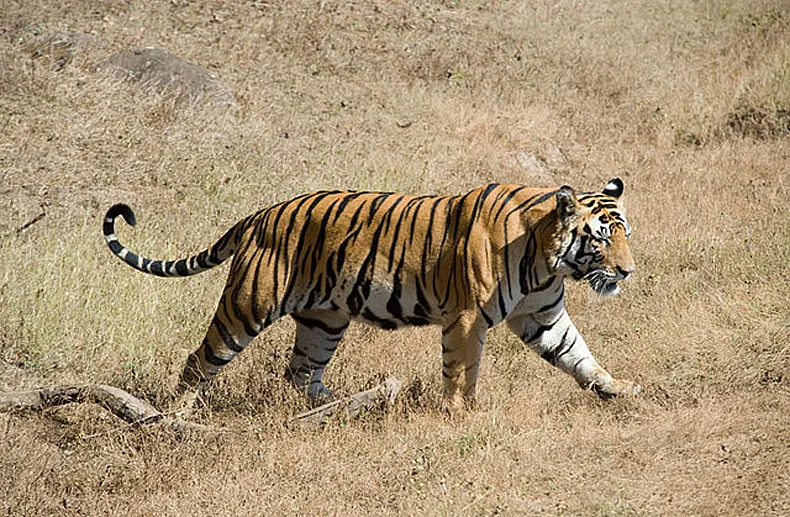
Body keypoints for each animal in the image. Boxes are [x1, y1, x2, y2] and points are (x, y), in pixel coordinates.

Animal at [103, 178, 640, 414]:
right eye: (601, 238)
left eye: (625, 233)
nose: (627, 271)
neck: (548, 261)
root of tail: (258, 215)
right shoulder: (467, 318)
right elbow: (462, 370)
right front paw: (459, 413)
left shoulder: (542, 316)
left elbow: (579, 355)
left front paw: (617, 388)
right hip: (247, 306)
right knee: (199, 360)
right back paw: (175, 417)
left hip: (324, 320)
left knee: (300, 373)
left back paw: (342, 405)